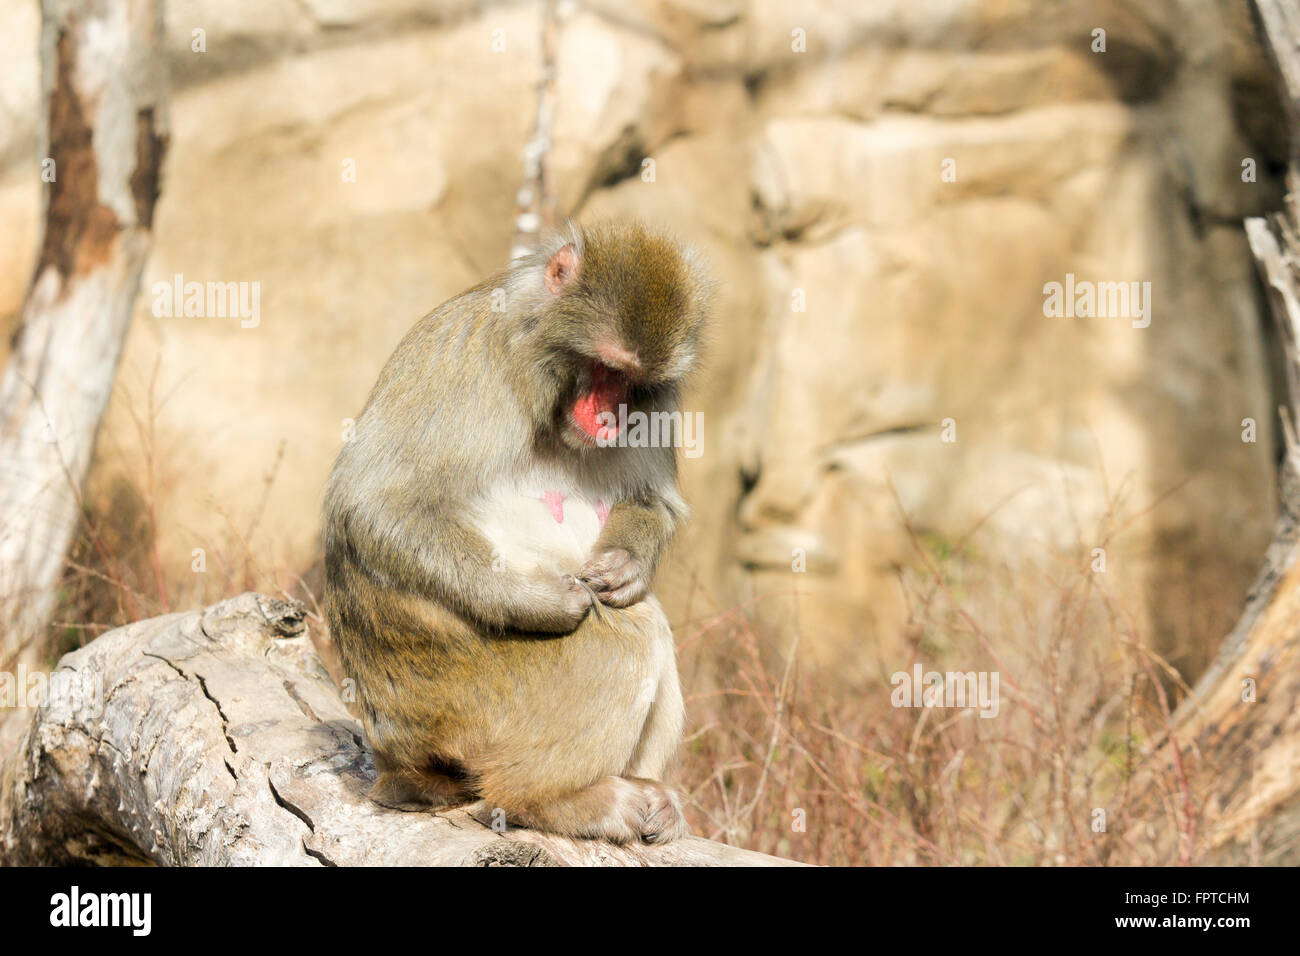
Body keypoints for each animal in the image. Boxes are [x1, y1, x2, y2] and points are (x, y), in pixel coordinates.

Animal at [322, 221, 710, 844]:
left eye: (636, 382)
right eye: (607, 369)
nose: (612, 417)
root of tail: (397, 760)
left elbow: (652, 502)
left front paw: (626, 563)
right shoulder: (467, 360)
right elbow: (373, 504)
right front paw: (539, 602)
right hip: (465, 705)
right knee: (632, 634)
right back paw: (552, 800)